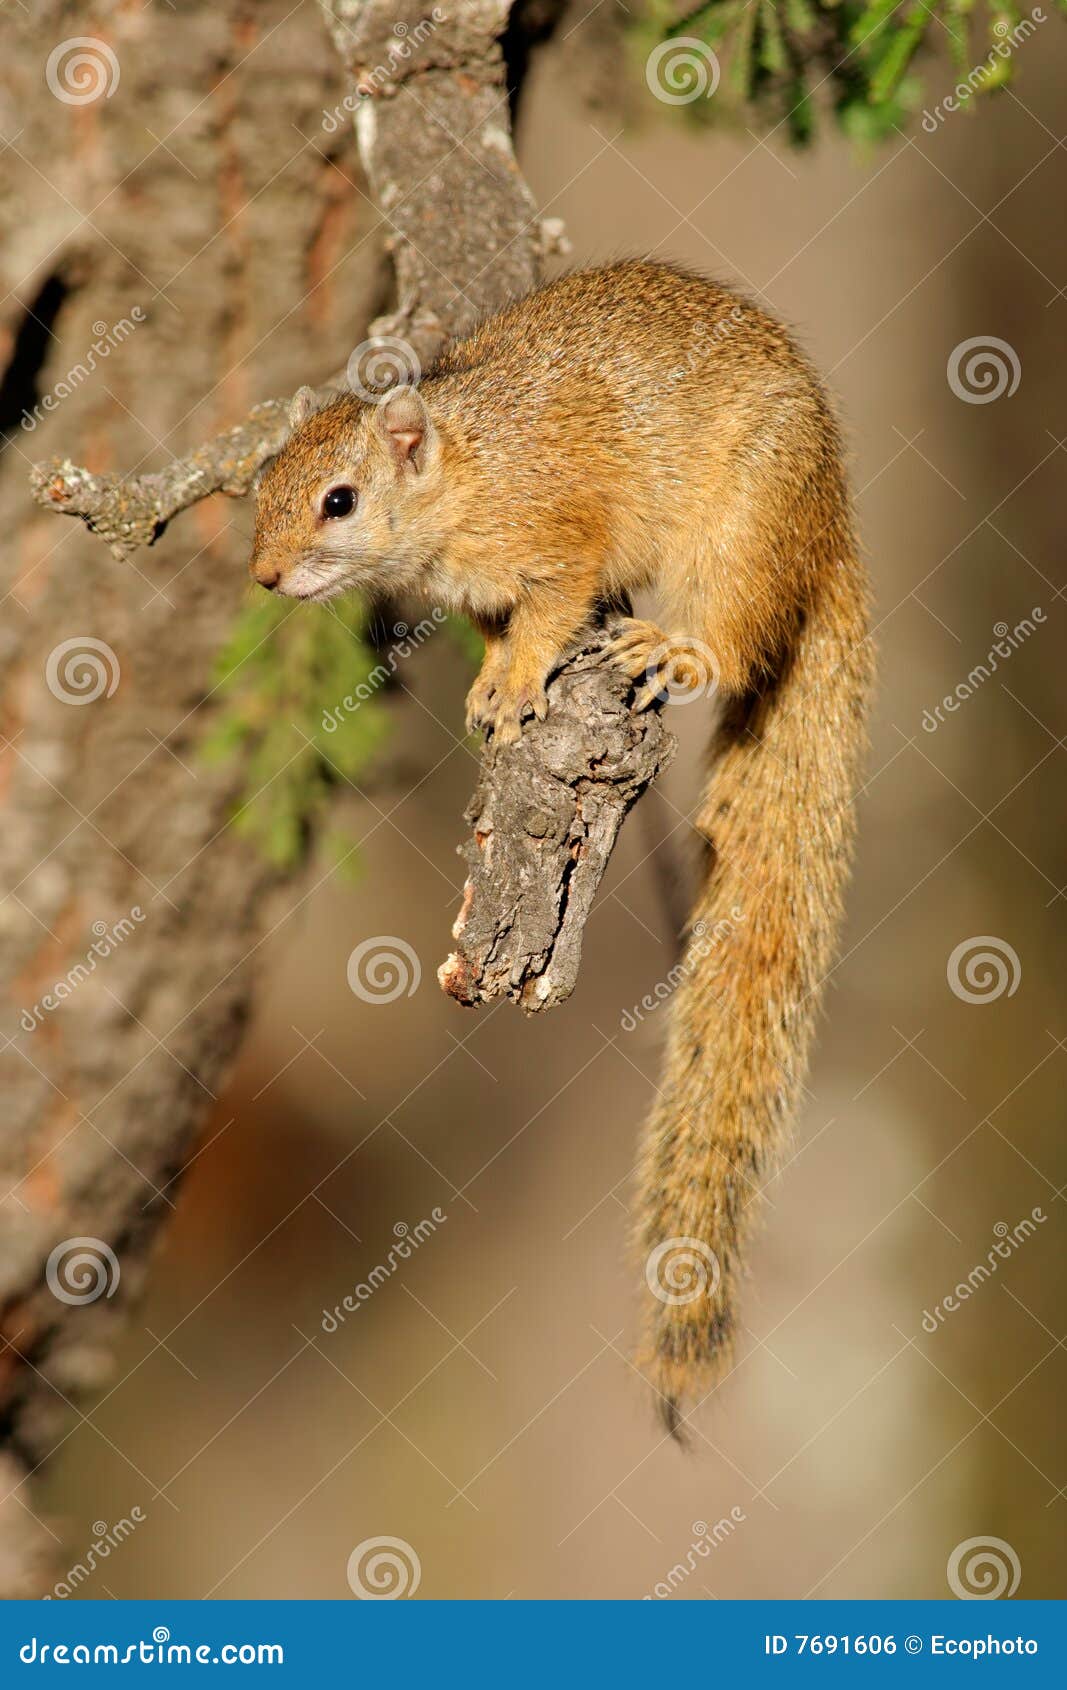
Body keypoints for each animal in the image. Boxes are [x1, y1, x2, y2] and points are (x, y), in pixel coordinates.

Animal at [251, 259, 873, 1435]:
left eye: (338, 500)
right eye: (259, 486)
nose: (263, 578)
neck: (466, 468)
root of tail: (827, 527)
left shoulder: (559, 537)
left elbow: (548, 615)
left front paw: (513, 686)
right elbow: (502, 633)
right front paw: (491, 685)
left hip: (739, 532)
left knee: (731, 640)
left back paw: (666, 645)